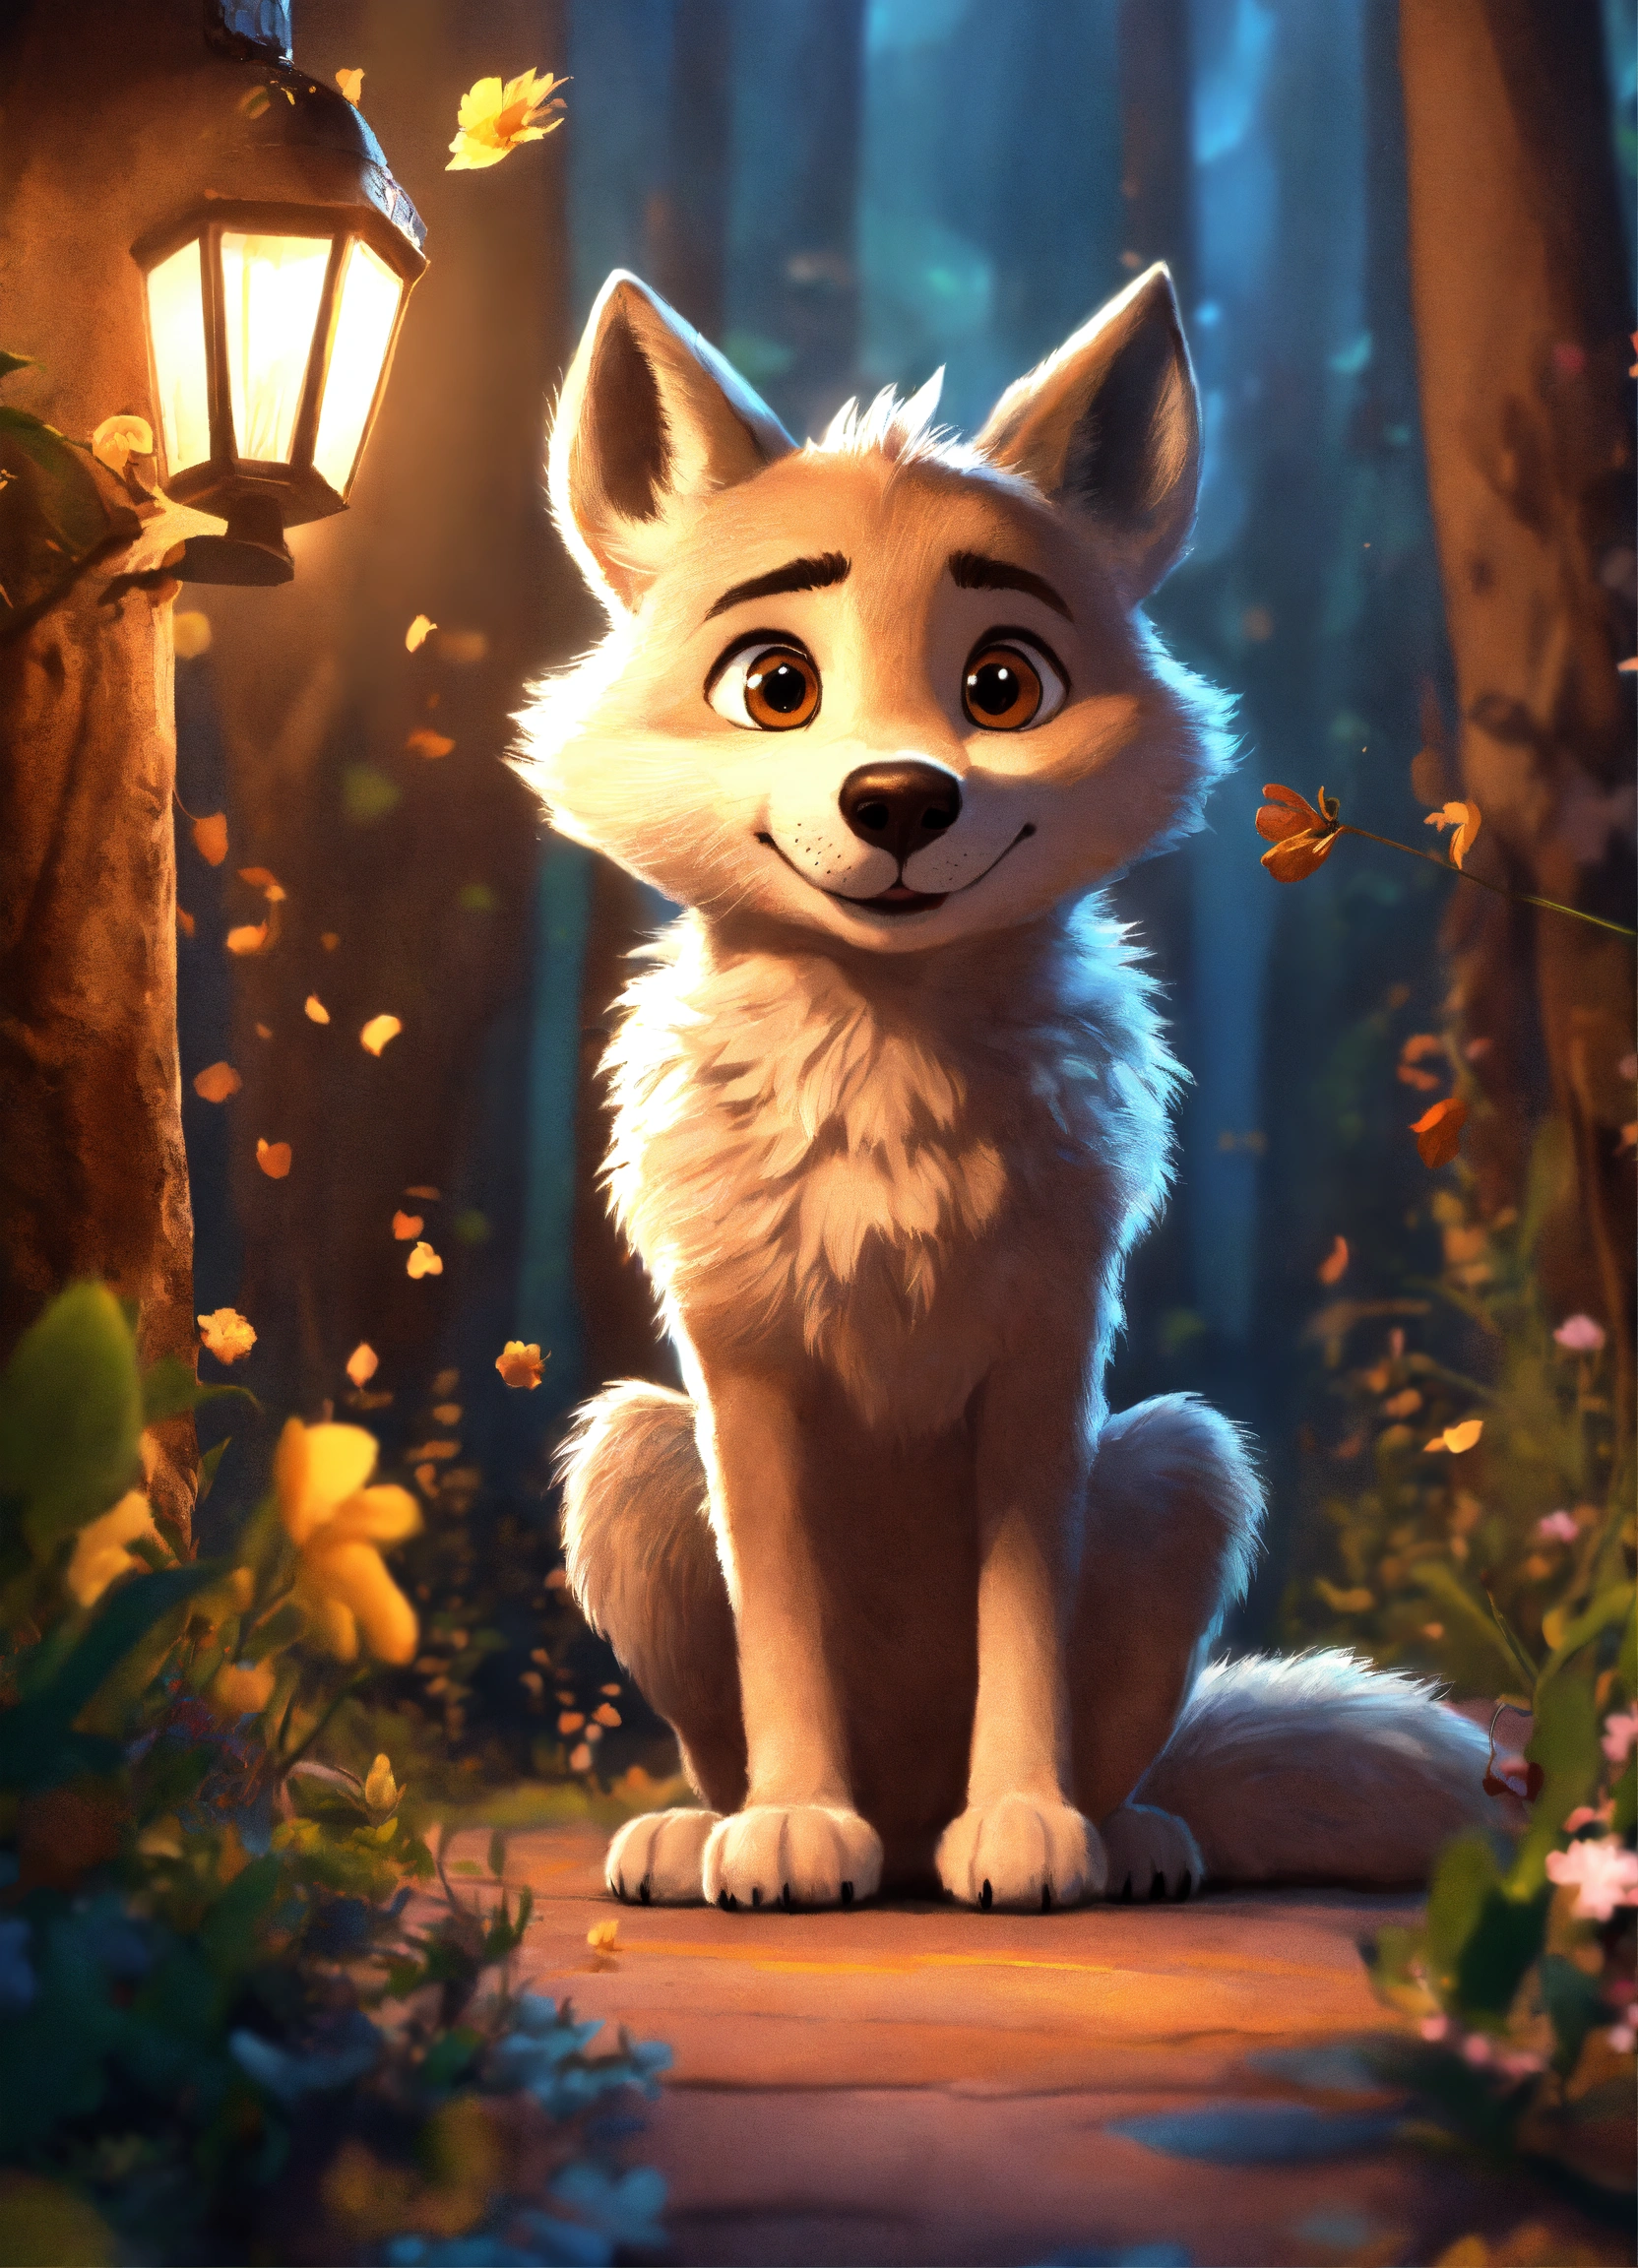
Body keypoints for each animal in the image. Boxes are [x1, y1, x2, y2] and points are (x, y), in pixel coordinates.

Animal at [517, 263, 1491, 1912]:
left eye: (1002, 684)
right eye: (776, 685)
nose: (901, 800)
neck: (886, 1060)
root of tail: (910, 1811)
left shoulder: (1048, 1354)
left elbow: (1024, 1630)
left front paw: (1028, 1826)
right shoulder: (740, 1376)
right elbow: (782, 1638)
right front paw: (791, 1827)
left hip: (1186, 1459)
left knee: (1133, 1763)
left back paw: (1116, 1838)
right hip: (627, 1457)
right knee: (720, 1749)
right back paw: (706, 1833)